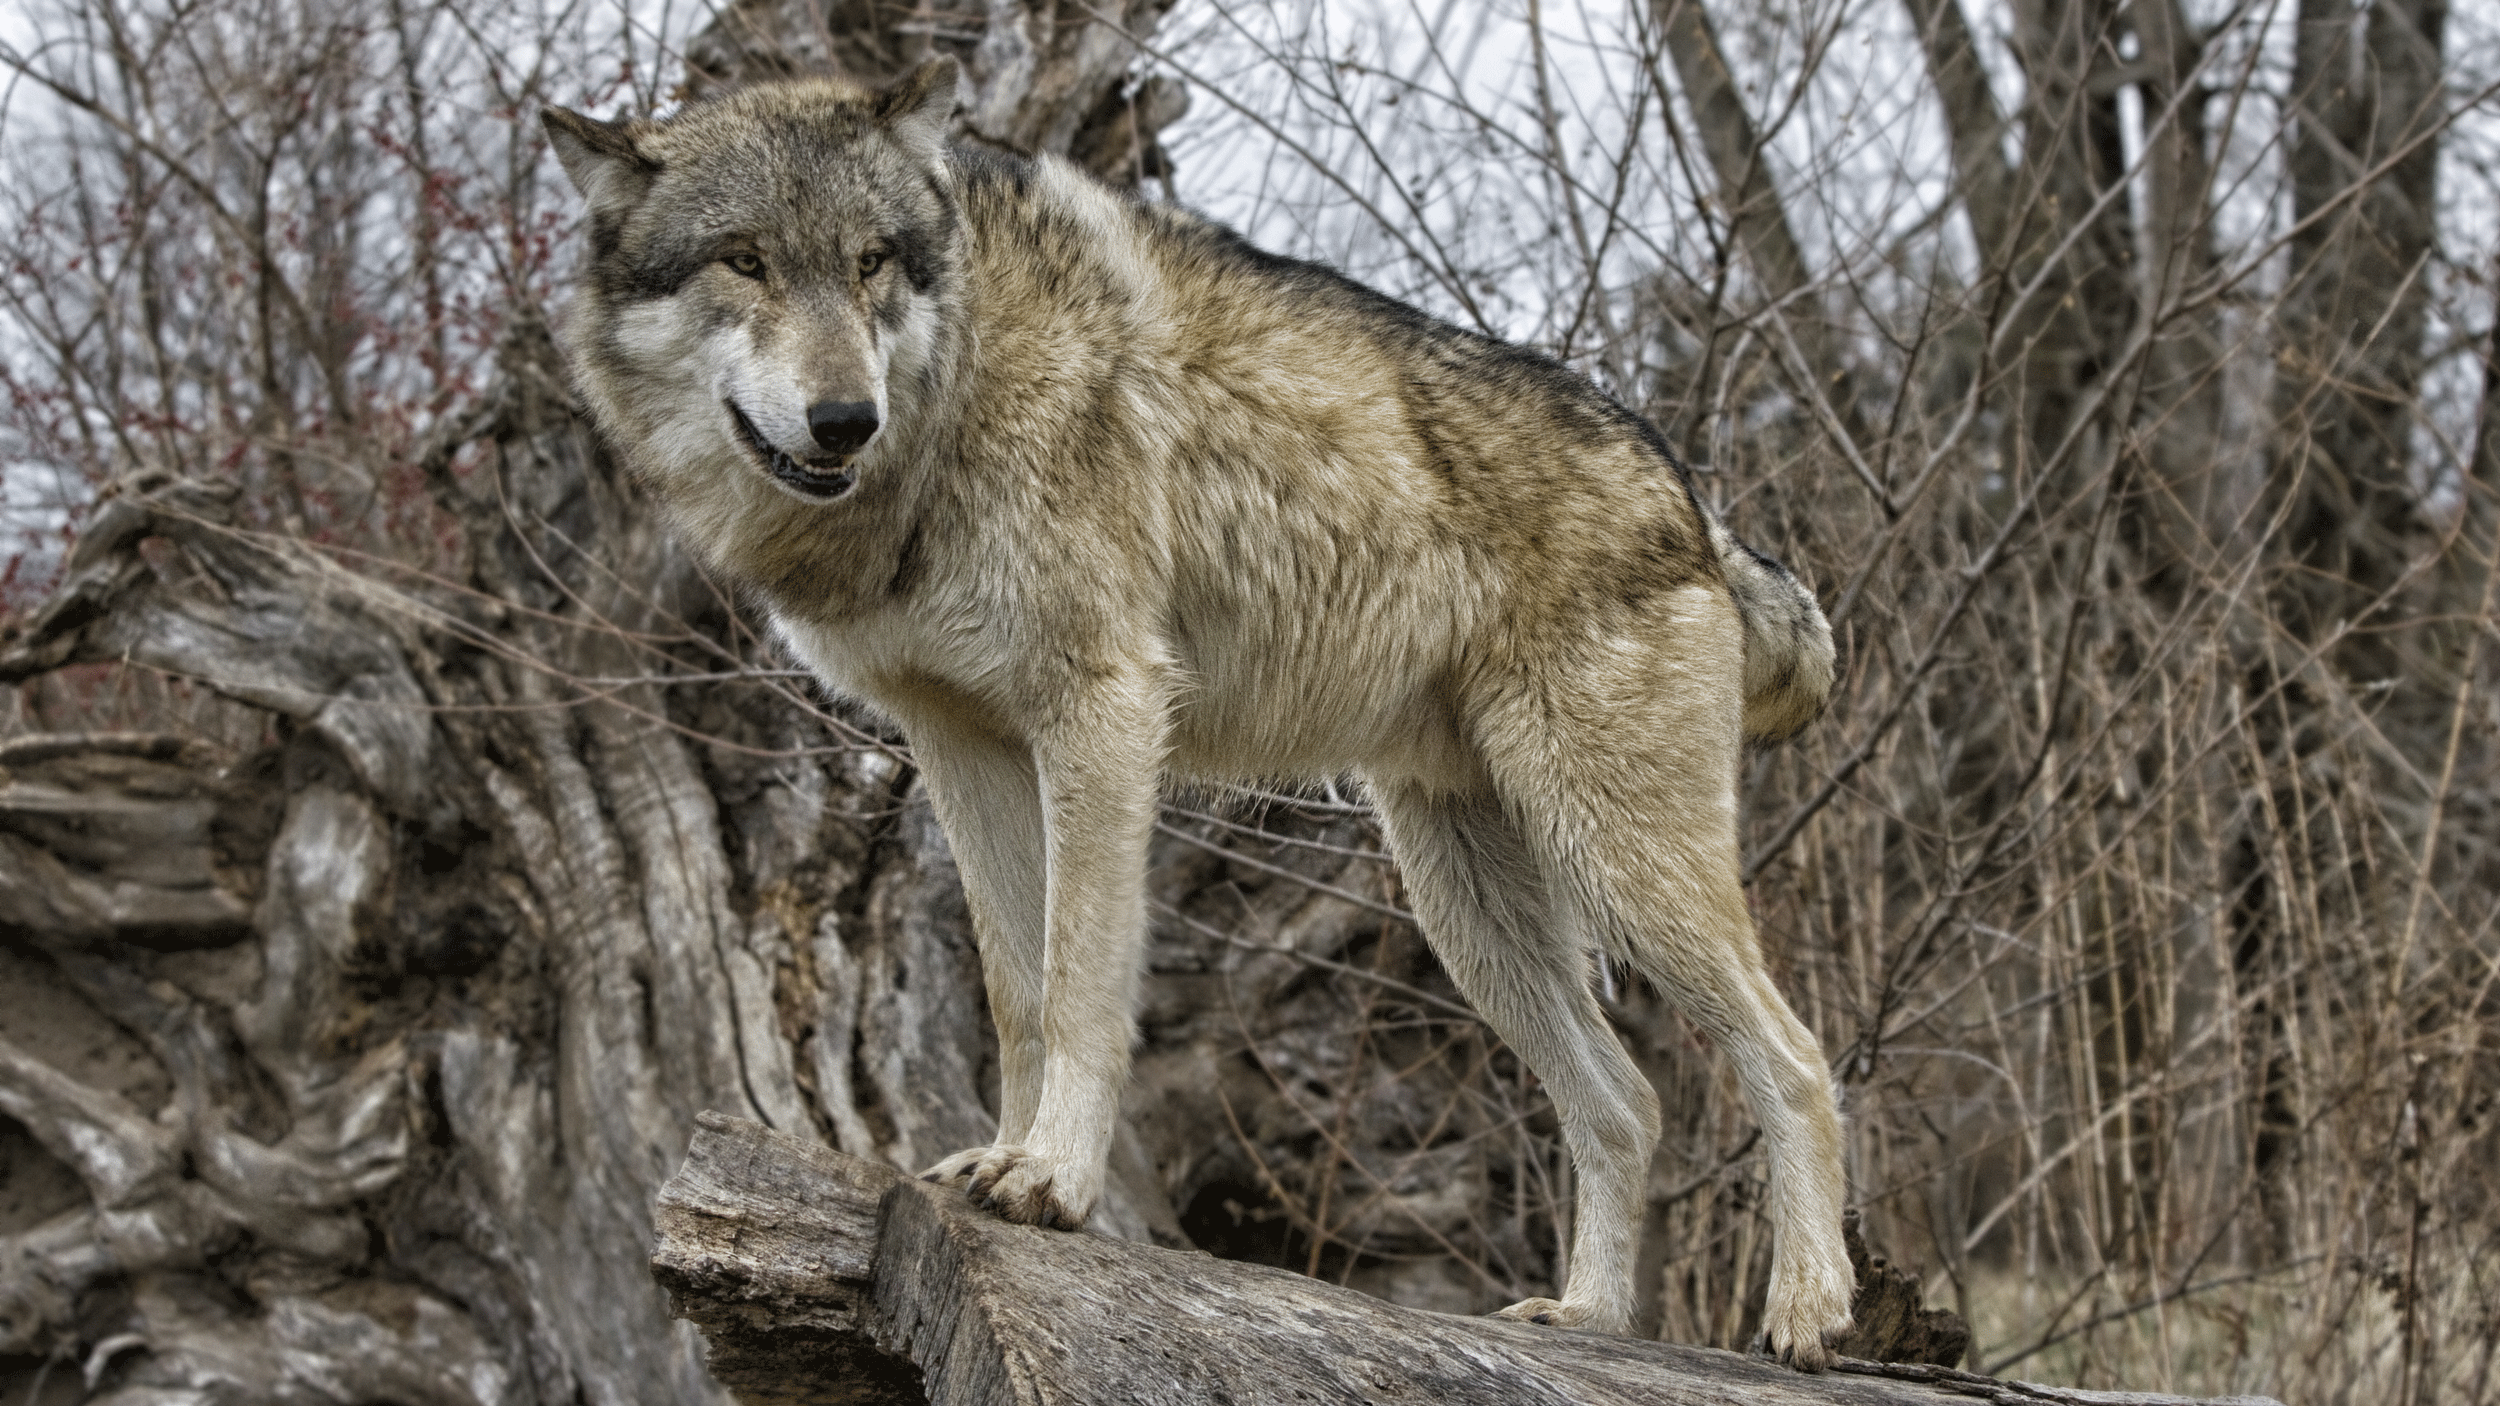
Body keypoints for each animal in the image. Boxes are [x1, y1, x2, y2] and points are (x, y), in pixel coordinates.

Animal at [544, 56, 1854, 1366]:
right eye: (746, 261)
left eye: (871, 260)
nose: (841, 420)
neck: (956, 391)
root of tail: (1692, 496)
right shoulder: (960, 743)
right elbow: (1018, 993)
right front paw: (1003, 1156)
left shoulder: (1102, 710)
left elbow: (1080, 975)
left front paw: (1053, 1181)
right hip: (1465, 900)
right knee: (1624, 1101)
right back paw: (1585, 1316)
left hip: (1612, 858)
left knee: (1792, 1055)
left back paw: (1806, 1311)